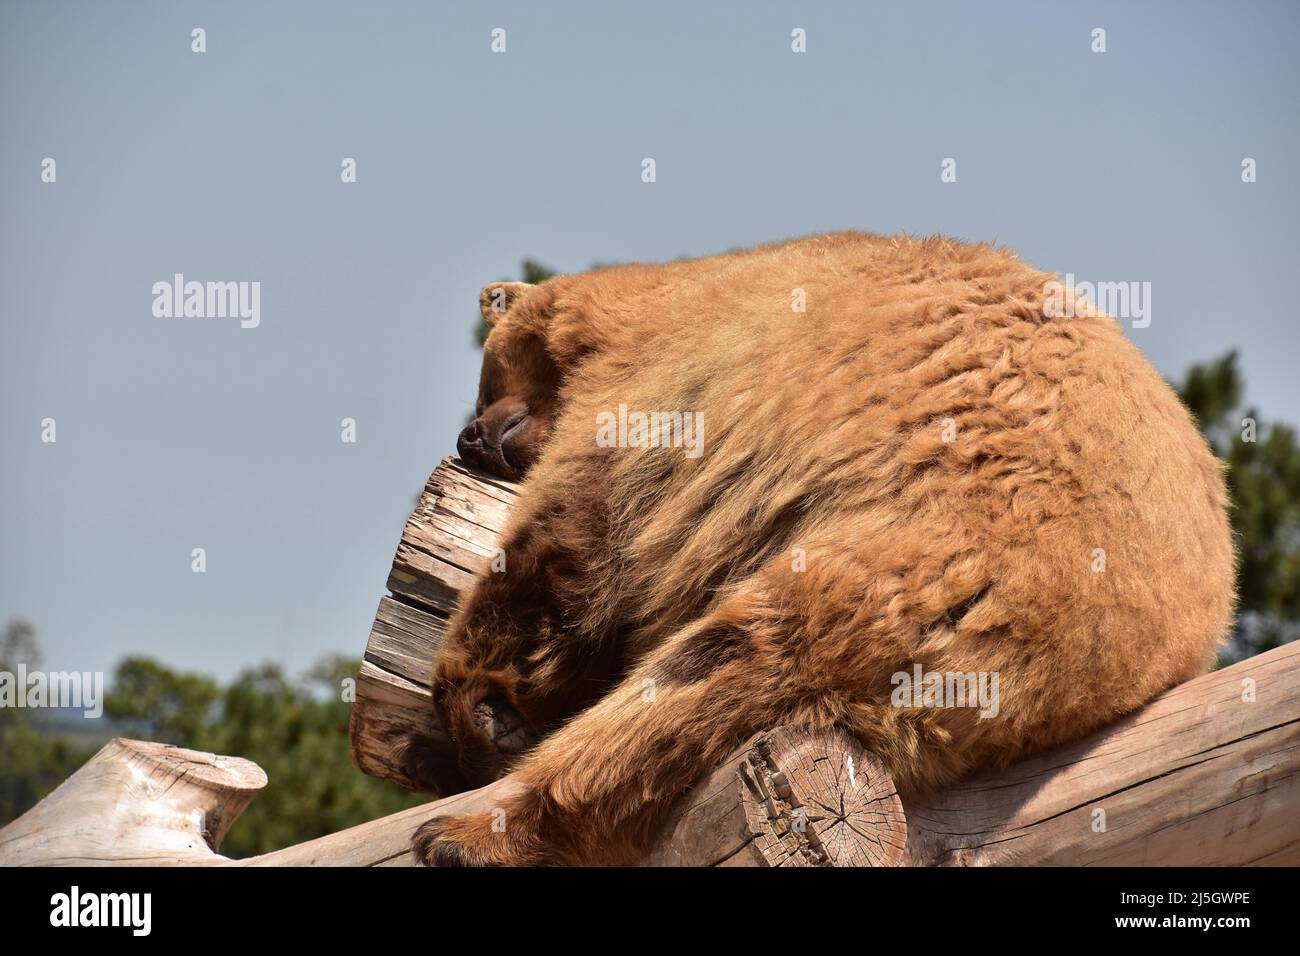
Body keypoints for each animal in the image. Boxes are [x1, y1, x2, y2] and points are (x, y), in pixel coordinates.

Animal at [411, 231, 1235, 866]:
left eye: (485, 376)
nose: (471, 434)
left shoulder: (665, 387)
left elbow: (571, 536)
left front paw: (476, 710)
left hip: (924, 548)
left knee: (709, 673)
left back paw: (469, 833)